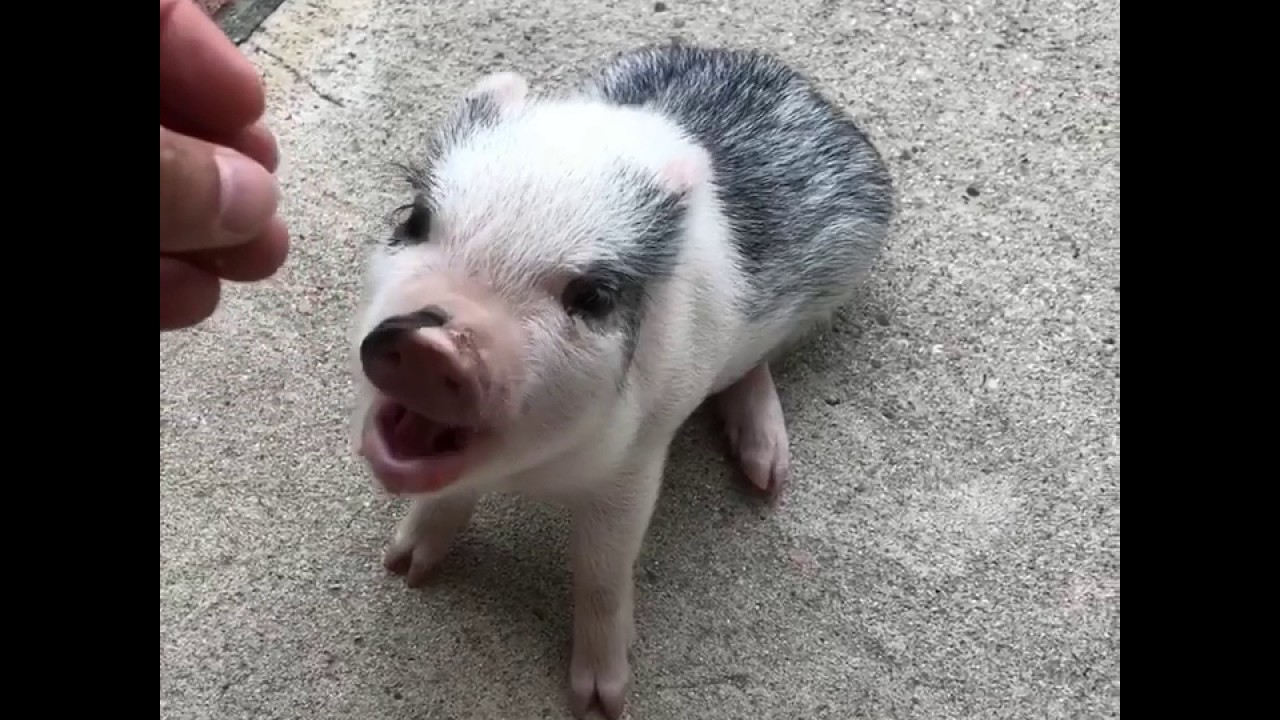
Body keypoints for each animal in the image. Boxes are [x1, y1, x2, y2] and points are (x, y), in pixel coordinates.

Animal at [348, 43, 894, 719]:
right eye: (415, 219)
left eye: (594, 296)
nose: (432, 345)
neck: (530, 473)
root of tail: (797, 83)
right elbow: (447, 497)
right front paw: (402, 569)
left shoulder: (637, 459)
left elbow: (603, 572)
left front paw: (602, 702)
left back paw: (767, 479)